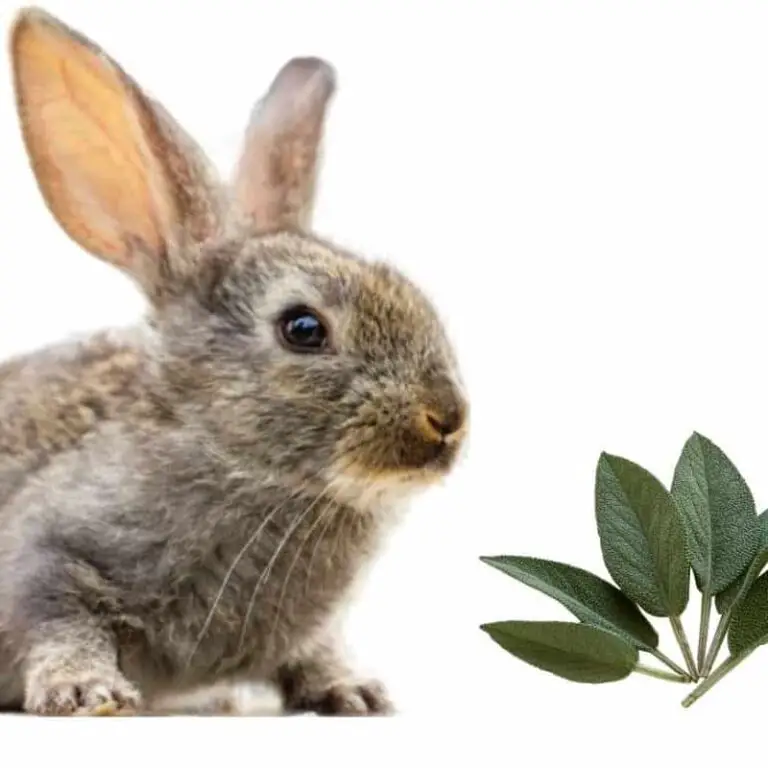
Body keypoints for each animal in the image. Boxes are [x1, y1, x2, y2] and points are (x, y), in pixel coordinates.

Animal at [0, 6, 468, 716]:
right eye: (303, 329)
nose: (447, 417)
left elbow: (315, 651)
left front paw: (355, 692)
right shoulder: (44, 556)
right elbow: (61, 622)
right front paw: (88, 692)